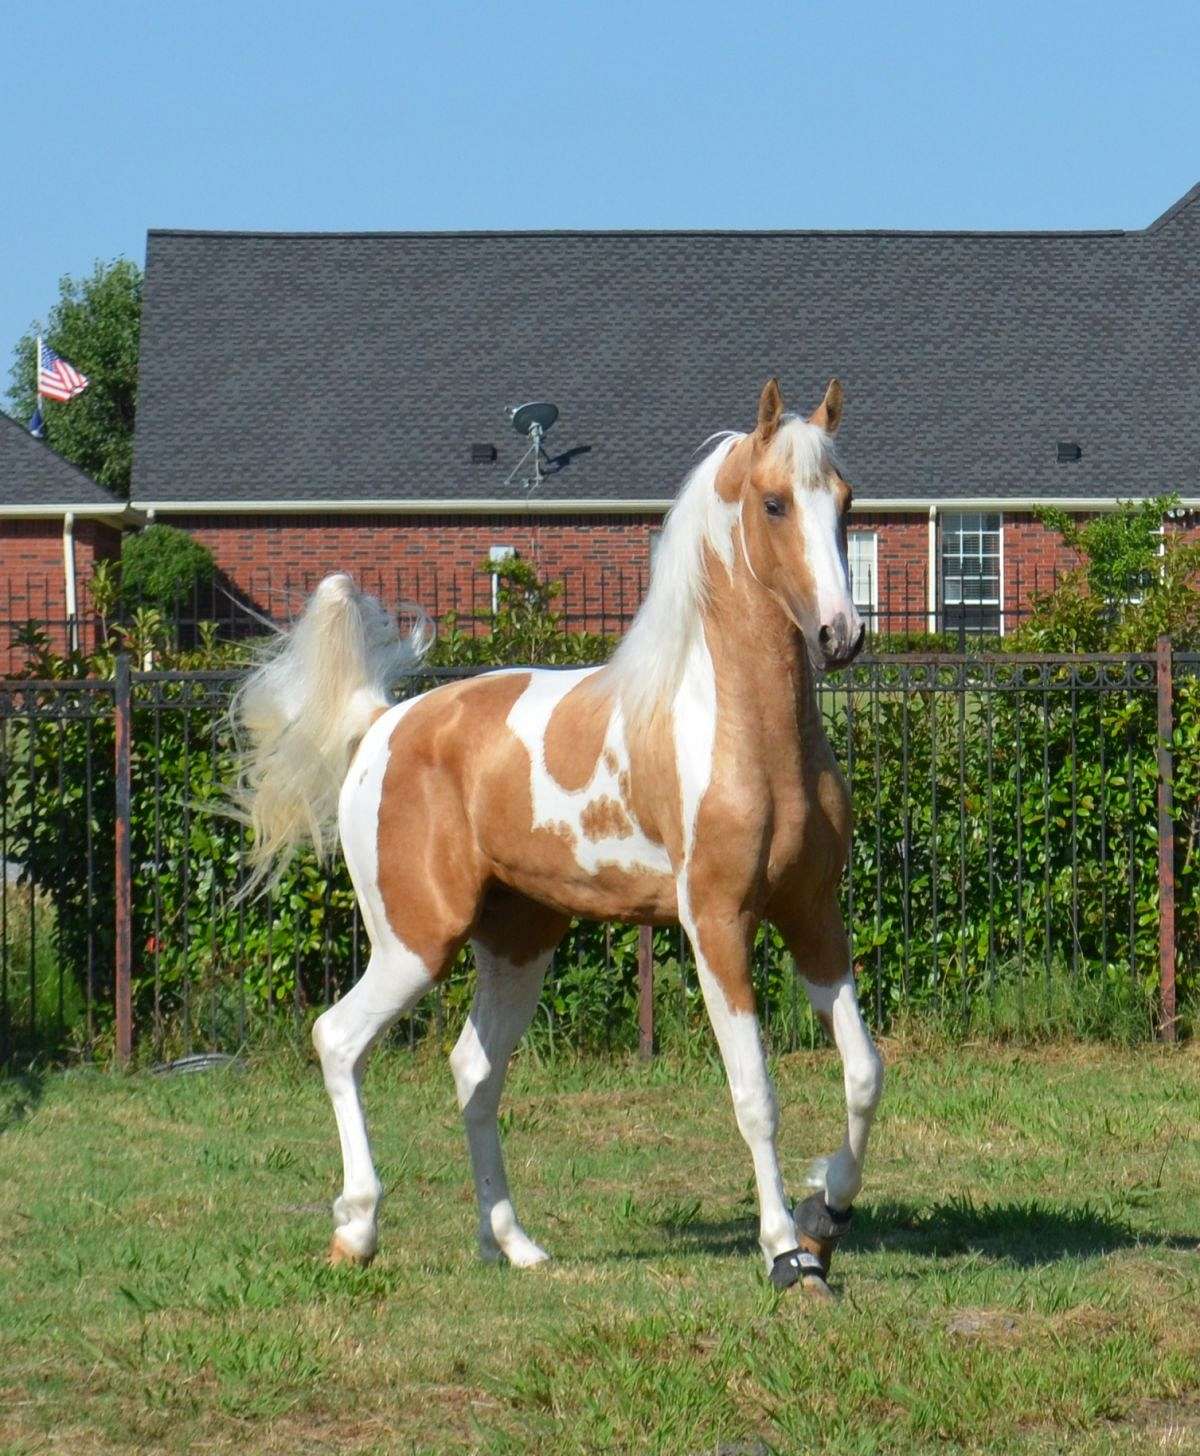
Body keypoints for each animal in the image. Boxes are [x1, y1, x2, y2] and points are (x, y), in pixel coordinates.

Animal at [233, 377, 884, 1299]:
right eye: (773, 503)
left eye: (846, 500)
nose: (841, 634)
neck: (742, 731)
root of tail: (381, 725)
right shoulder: (717, 922)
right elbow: (755, 1093)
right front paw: (786, 1252)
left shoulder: (814, 914)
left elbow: (864, 1072)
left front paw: (828, 1212)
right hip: (414, 943)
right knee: (337, 1039)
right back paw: (355, 1230)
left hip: (519, 940)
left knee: (473, 1073)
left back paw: (512, 1242)